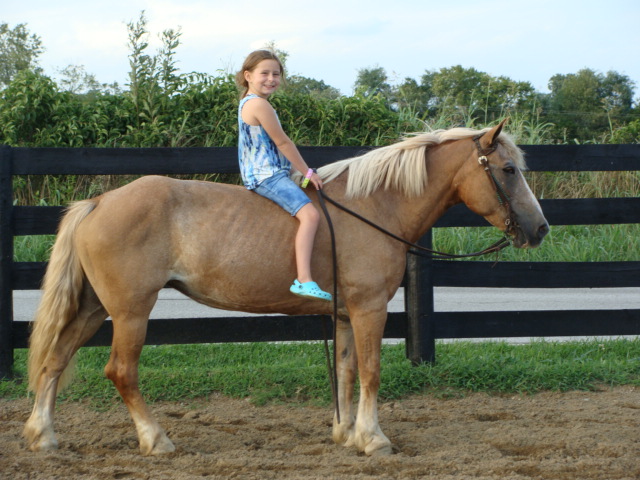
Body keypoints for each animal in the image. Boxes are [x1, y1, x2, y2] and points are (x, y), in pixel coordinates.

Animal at [24, 120, 548, 456]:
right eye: (508, 170)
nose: (540, 228)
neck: (377, 207)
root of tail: (99, 201)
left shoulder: (344, 314)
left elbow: (345, 371)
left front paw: (347, 434)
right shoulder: (369, 309)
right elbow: (372, 372)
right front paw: (374, 438)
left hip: (95, 306)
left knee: (55, 359)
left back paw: (43, 436)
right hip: (131, 311)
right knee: (122, 372)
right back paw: (157, 440)